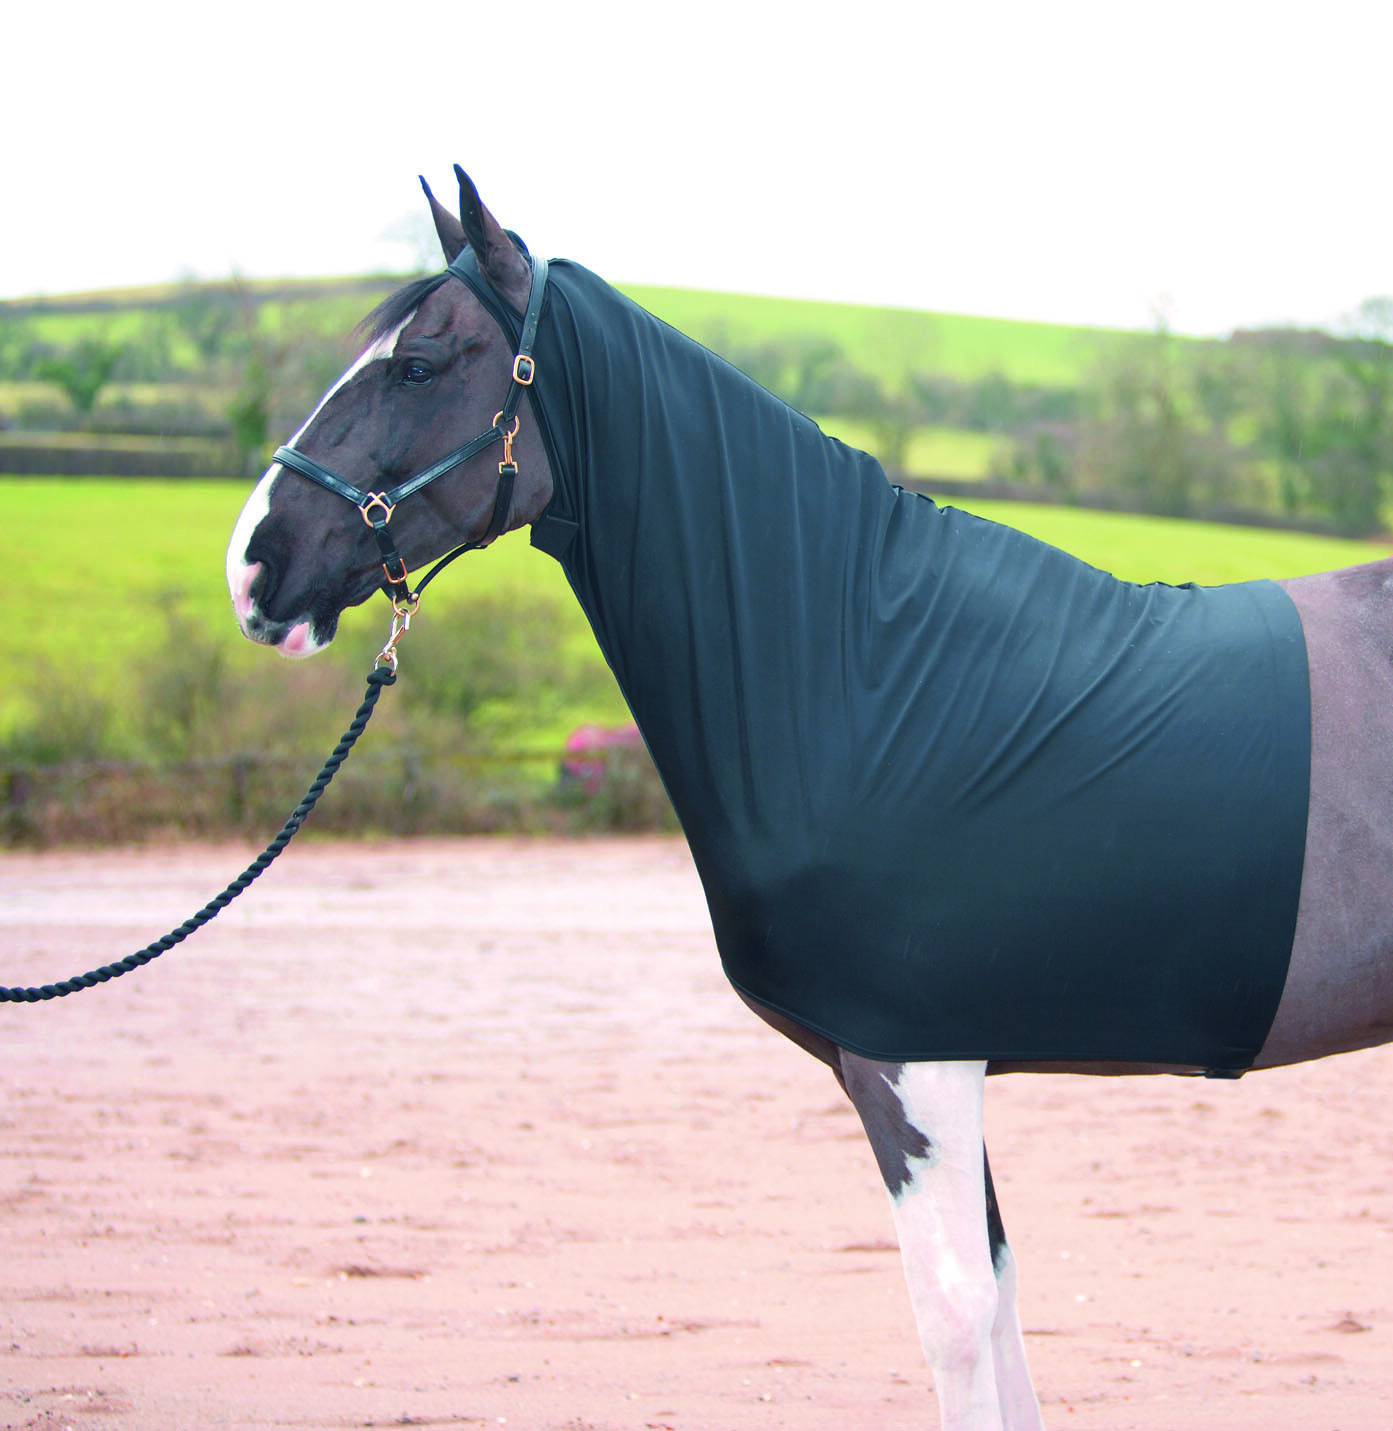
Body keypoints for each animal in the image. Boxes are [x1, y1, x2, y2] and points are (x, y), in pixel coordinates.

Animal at [226, 167, 1393, 1430]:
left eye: (420, 364)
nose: (253, 563)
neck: (874, 677)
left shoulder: (911, 1063)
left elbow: (955, 1316)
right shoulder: (943, 1059)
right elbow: (1002, 1299)